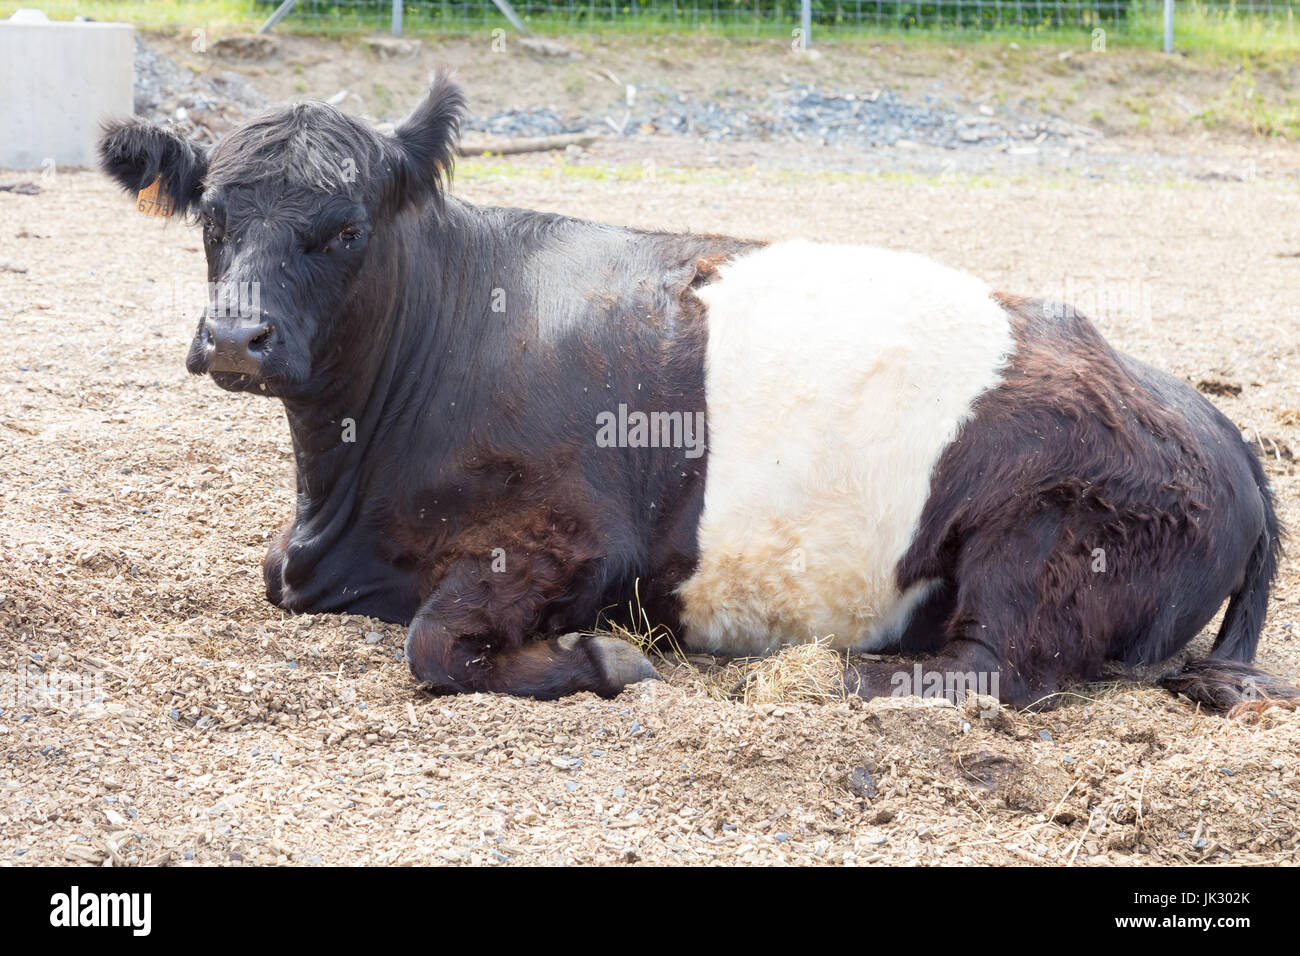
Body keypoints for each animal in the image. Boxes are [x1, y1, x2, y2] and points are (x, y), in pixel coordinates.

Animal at [98, 72, 1297, 713]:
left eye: (344, 229)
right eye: (212, 219)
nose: (236, 336)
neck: (341, 489)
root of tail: (1210, 420)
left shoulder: (576, 539)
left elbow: (434, 644)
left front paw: (599, 657)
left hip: (1044, 537)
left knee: (985, 669)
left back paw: (835, 673)